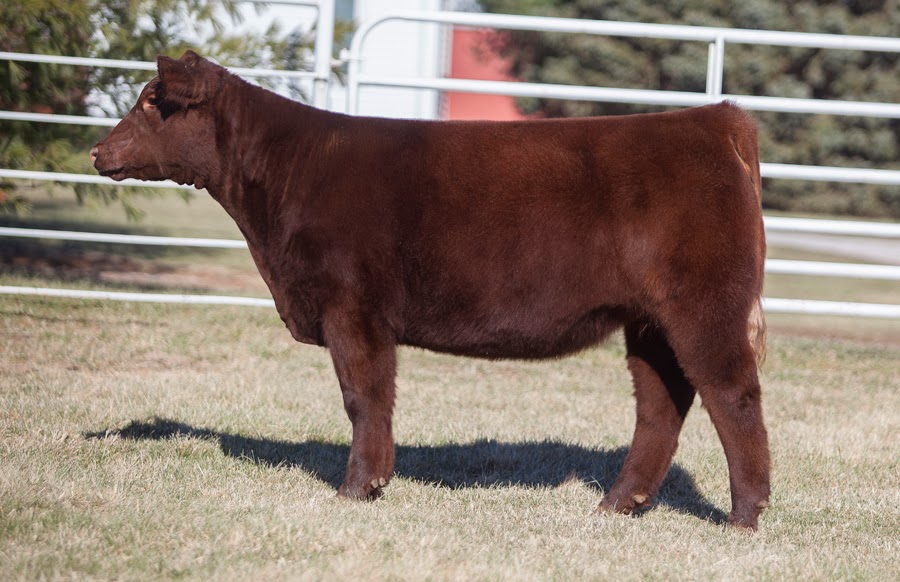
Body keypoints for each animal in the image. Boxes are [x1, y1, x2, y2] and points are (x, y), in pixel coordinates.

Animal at [91, 51, 770, 530]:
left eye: (152, 103)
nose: (98, 150)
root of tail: (713, 118)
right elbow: (372, 397)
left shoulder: (351, 307)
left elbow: (364, 396)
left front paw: (359, 487)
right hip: (650, 320)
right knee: (661, 403)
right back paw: (618, 504)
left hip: (703, 306)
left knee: (732, 394)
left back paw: (745, 515)